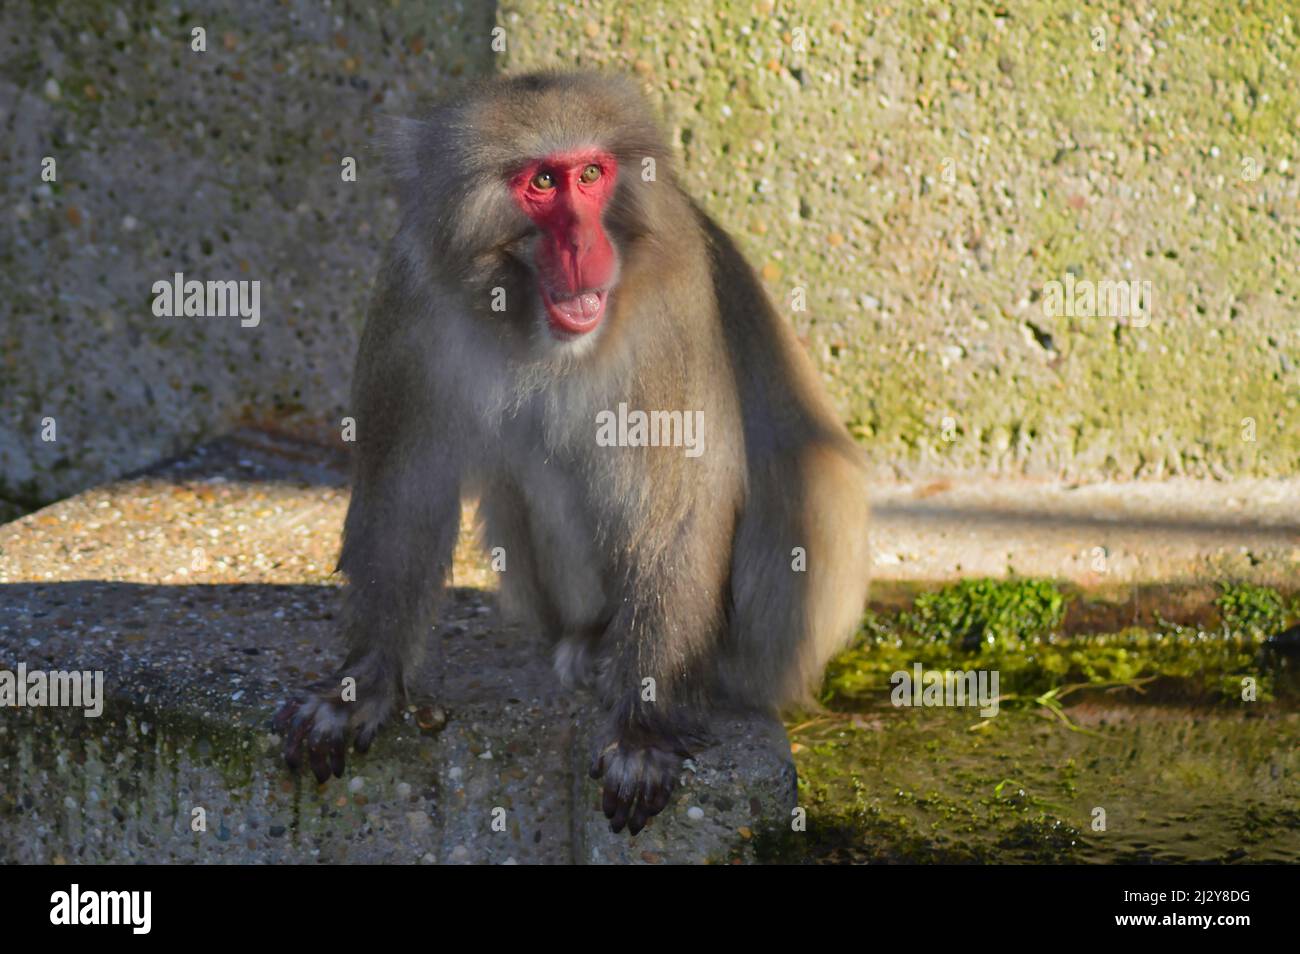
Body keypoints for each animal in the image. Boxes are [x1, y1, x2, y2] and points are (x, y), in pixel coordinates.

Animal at [274, 71, 871, 836]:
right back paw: (590, 639)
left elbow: (678, 509)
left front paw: (644, 727)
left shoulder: (676, 296)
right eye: (542, 182)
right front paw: (360, 688)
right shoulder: (412, 287)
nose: (585, 245)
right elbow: (404, 492)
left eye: (591, 175)